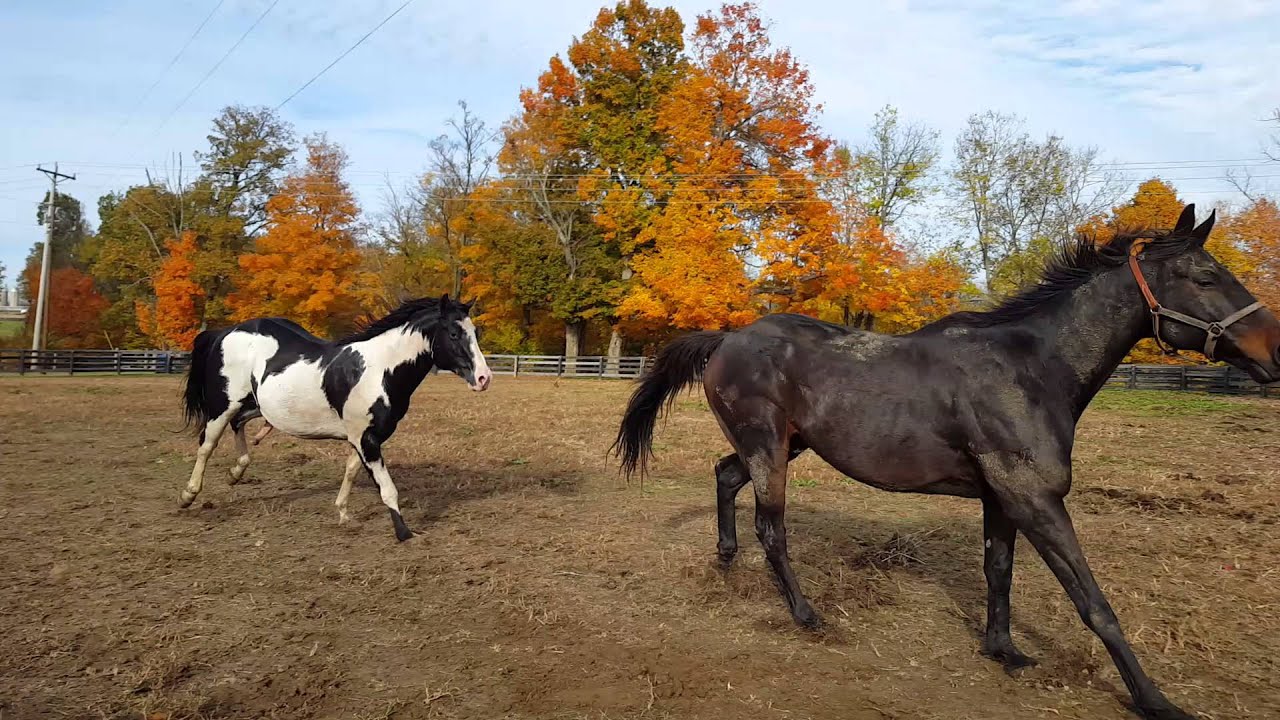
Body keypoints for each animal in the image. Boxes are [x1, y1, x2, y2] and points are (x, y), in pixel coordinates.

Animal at [179, 294, 492, 541]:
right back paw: (188, 495)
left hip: (254, 405)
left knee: (238, 425)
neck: (379, 371)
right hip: (222, 406)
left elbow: (351, 470)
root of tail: (225, 332)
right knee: (206, 444)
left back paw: (235, 474)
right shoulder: (367, 440)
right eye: (454, 334)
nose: (484, 378)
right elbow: (387, 489)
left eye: (475, 332)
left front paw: (342, 514)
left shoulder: (364, 436)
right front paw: (404, 533)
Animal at [612, 204, 1279, 720]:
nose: (1274, 353)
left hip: (783, 445)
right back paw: (807, 614)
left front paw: (1003, 650)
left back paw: (726, 560)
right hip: (770, 449)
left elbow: (999, 572)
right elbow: (1093, 603)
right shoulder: (1036, 500)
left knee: (726, 476)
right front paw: (1154, 700)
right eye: (1205, 276)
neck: (1029, 370)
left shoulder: (1003, 499)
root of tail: (727, 338)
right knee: (771, 527)